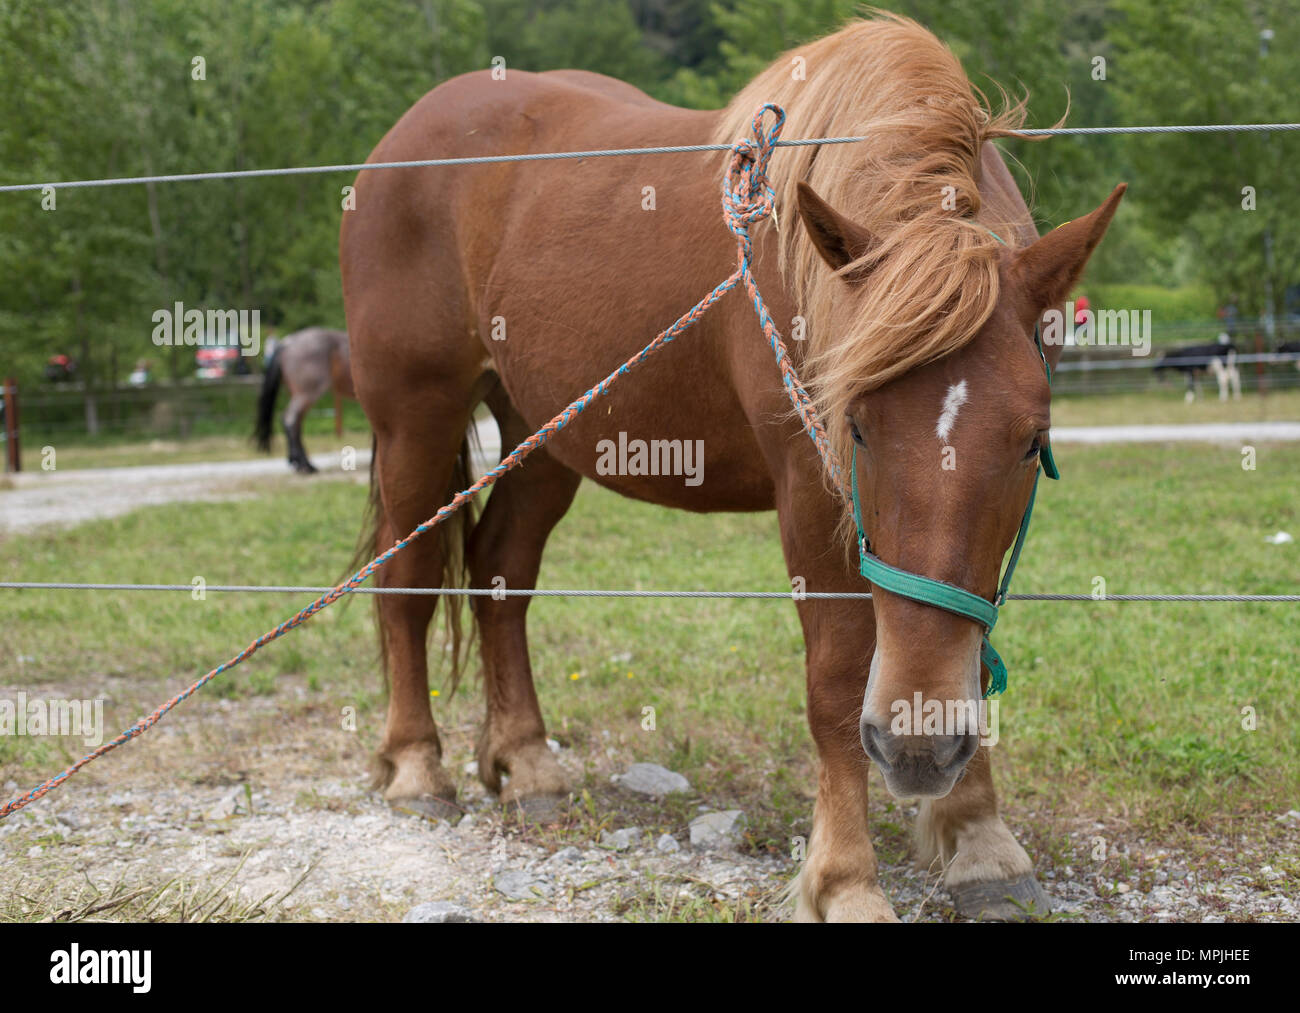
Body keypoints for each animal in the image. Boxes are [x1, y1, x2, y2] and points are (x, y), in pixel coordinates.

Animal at [253, 327, 355, 472]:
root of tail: (286, 342)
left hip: (297, 393)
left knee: (297, 424)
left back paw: (301, 462)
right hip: (306, 393)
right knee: (290, 420)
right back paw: (303, 465)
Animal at [339, 12, 1124, 922]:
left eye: (1032, 441)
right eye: (854, 427)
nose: (917, 748)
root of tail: (399, 145)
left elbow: (968, 641)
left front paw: (979, 839)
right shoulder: (810, 490)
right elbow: (835, 680)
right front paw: (846, 878)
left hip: (541, 430)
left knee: (503, 573)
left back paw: (528, 763)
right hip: (415, 421)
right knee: (408, 577)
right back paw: (414, 766)